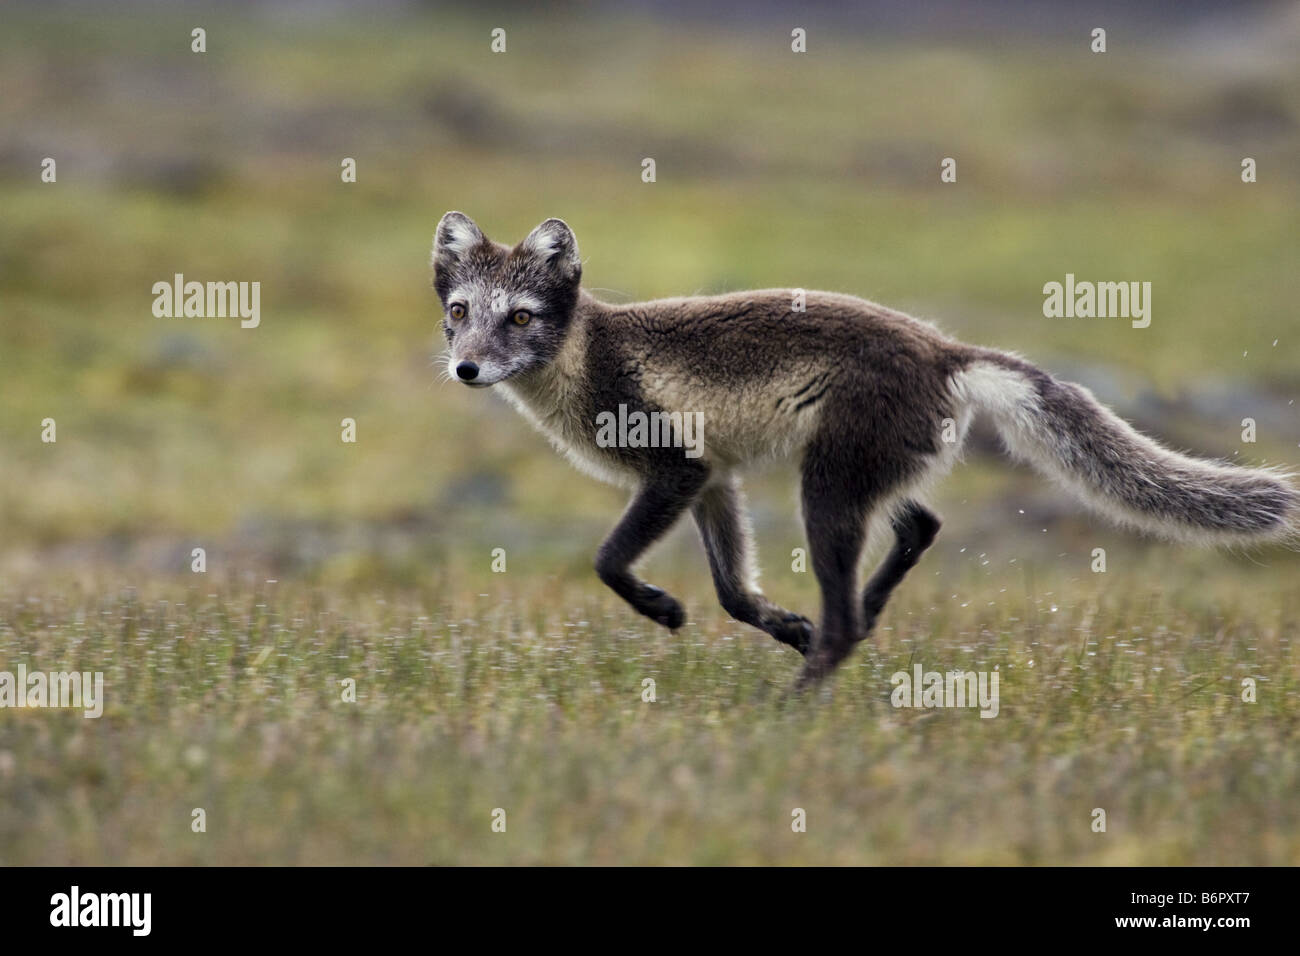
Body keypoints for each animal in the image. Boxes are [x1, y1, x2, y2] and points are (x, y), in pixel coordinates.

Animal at [431, 211, 1300, 689]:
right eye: (460, 312)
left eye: (520, 317)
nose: (465, 369)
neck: (585, 360)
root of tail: (947, 350)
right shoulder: (714, 478)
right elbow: (734, 592)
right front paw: (780, 624)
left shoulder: (676, 470)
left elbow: (609, 561)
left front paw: (661, 607)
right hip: (868, 473)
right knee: (919, 528)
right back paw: (849, 627)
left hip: (827, 489)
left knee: (851, 610)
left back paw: (788, 709)